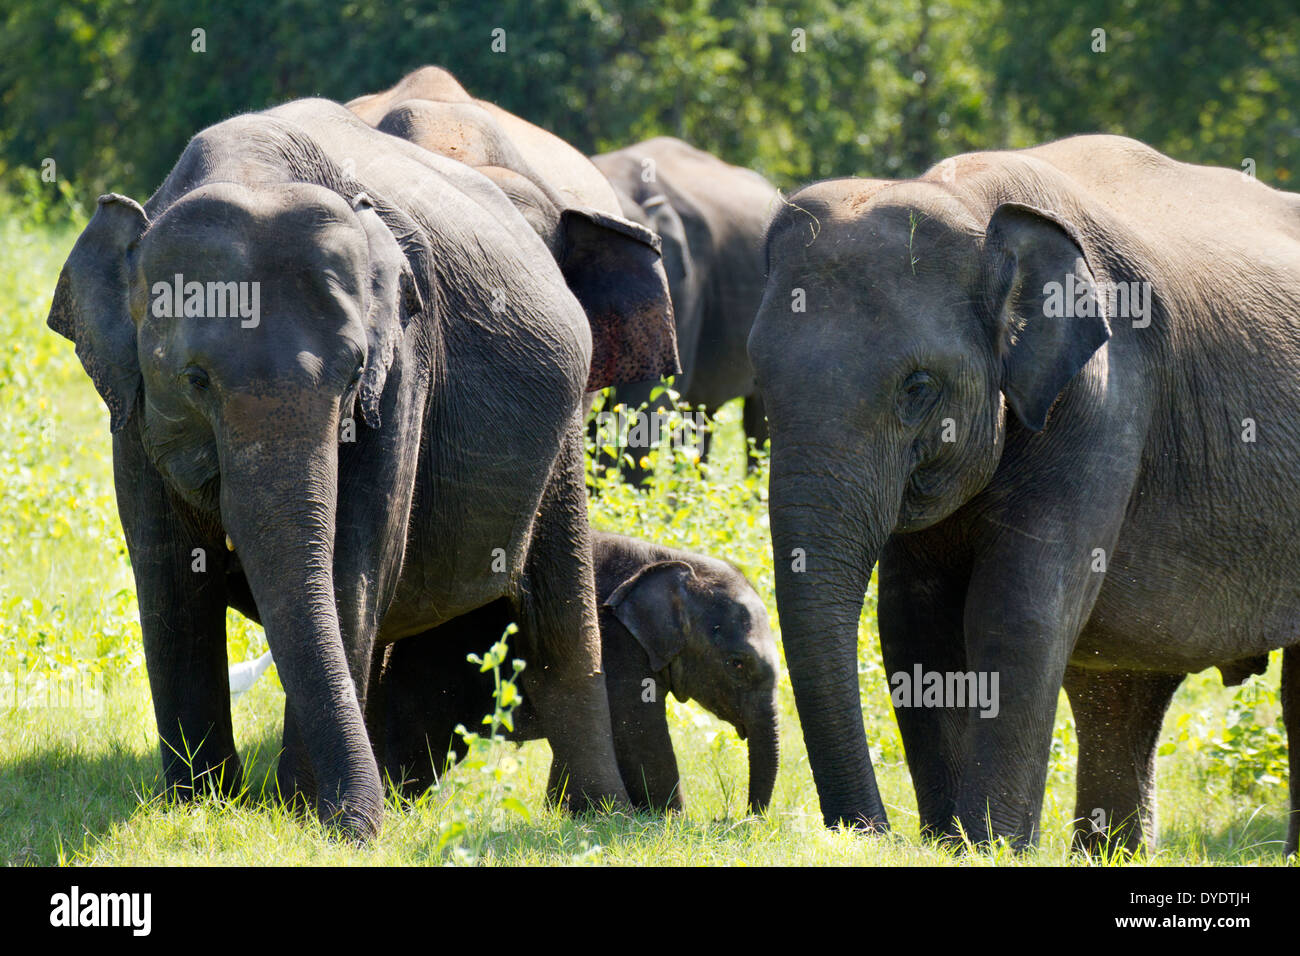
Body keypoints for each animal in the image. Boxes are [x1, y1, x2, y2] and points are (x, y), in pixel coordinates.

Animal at [374, 531, 781, 813]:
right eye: (736, 664)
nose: (733, 819)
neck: (673, 560)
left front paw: (565, 815)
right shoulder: (615, 643)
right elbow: (639, 734)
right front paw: (667, 822)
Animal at [748, 133, 1300, 855]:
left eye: (918, 389)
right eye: (760, 378)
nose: (870, 833)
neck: (972, 203)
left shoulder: (1105, 400)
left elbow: (1017, 611)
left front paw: (988, 847)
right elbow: (912, 621)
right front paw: (950, 844)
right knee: (1121, 689)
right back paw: (1108, 856)